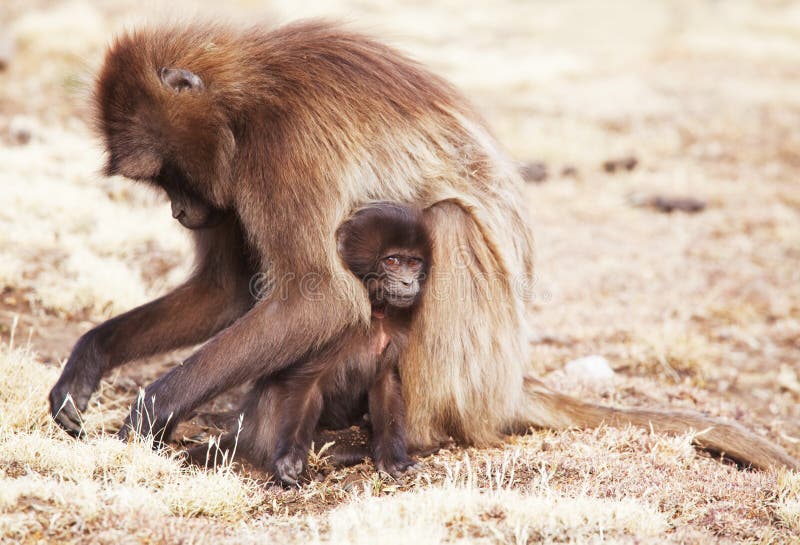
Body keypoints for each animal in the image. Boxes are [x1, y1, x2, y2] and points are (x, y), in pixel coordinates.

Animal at [48, 20, 798, 472]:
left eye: (171, 175)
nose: (182, 212)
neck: (244, 94)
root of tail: (511, 379)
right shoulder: (234, 179)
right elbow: (229, 293)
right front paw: (86, 366)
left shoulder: (277, 152)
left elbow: (319, 299)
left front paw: (148, 413)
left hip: (477, 362)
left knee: (447, 223)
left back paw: (384, 440)